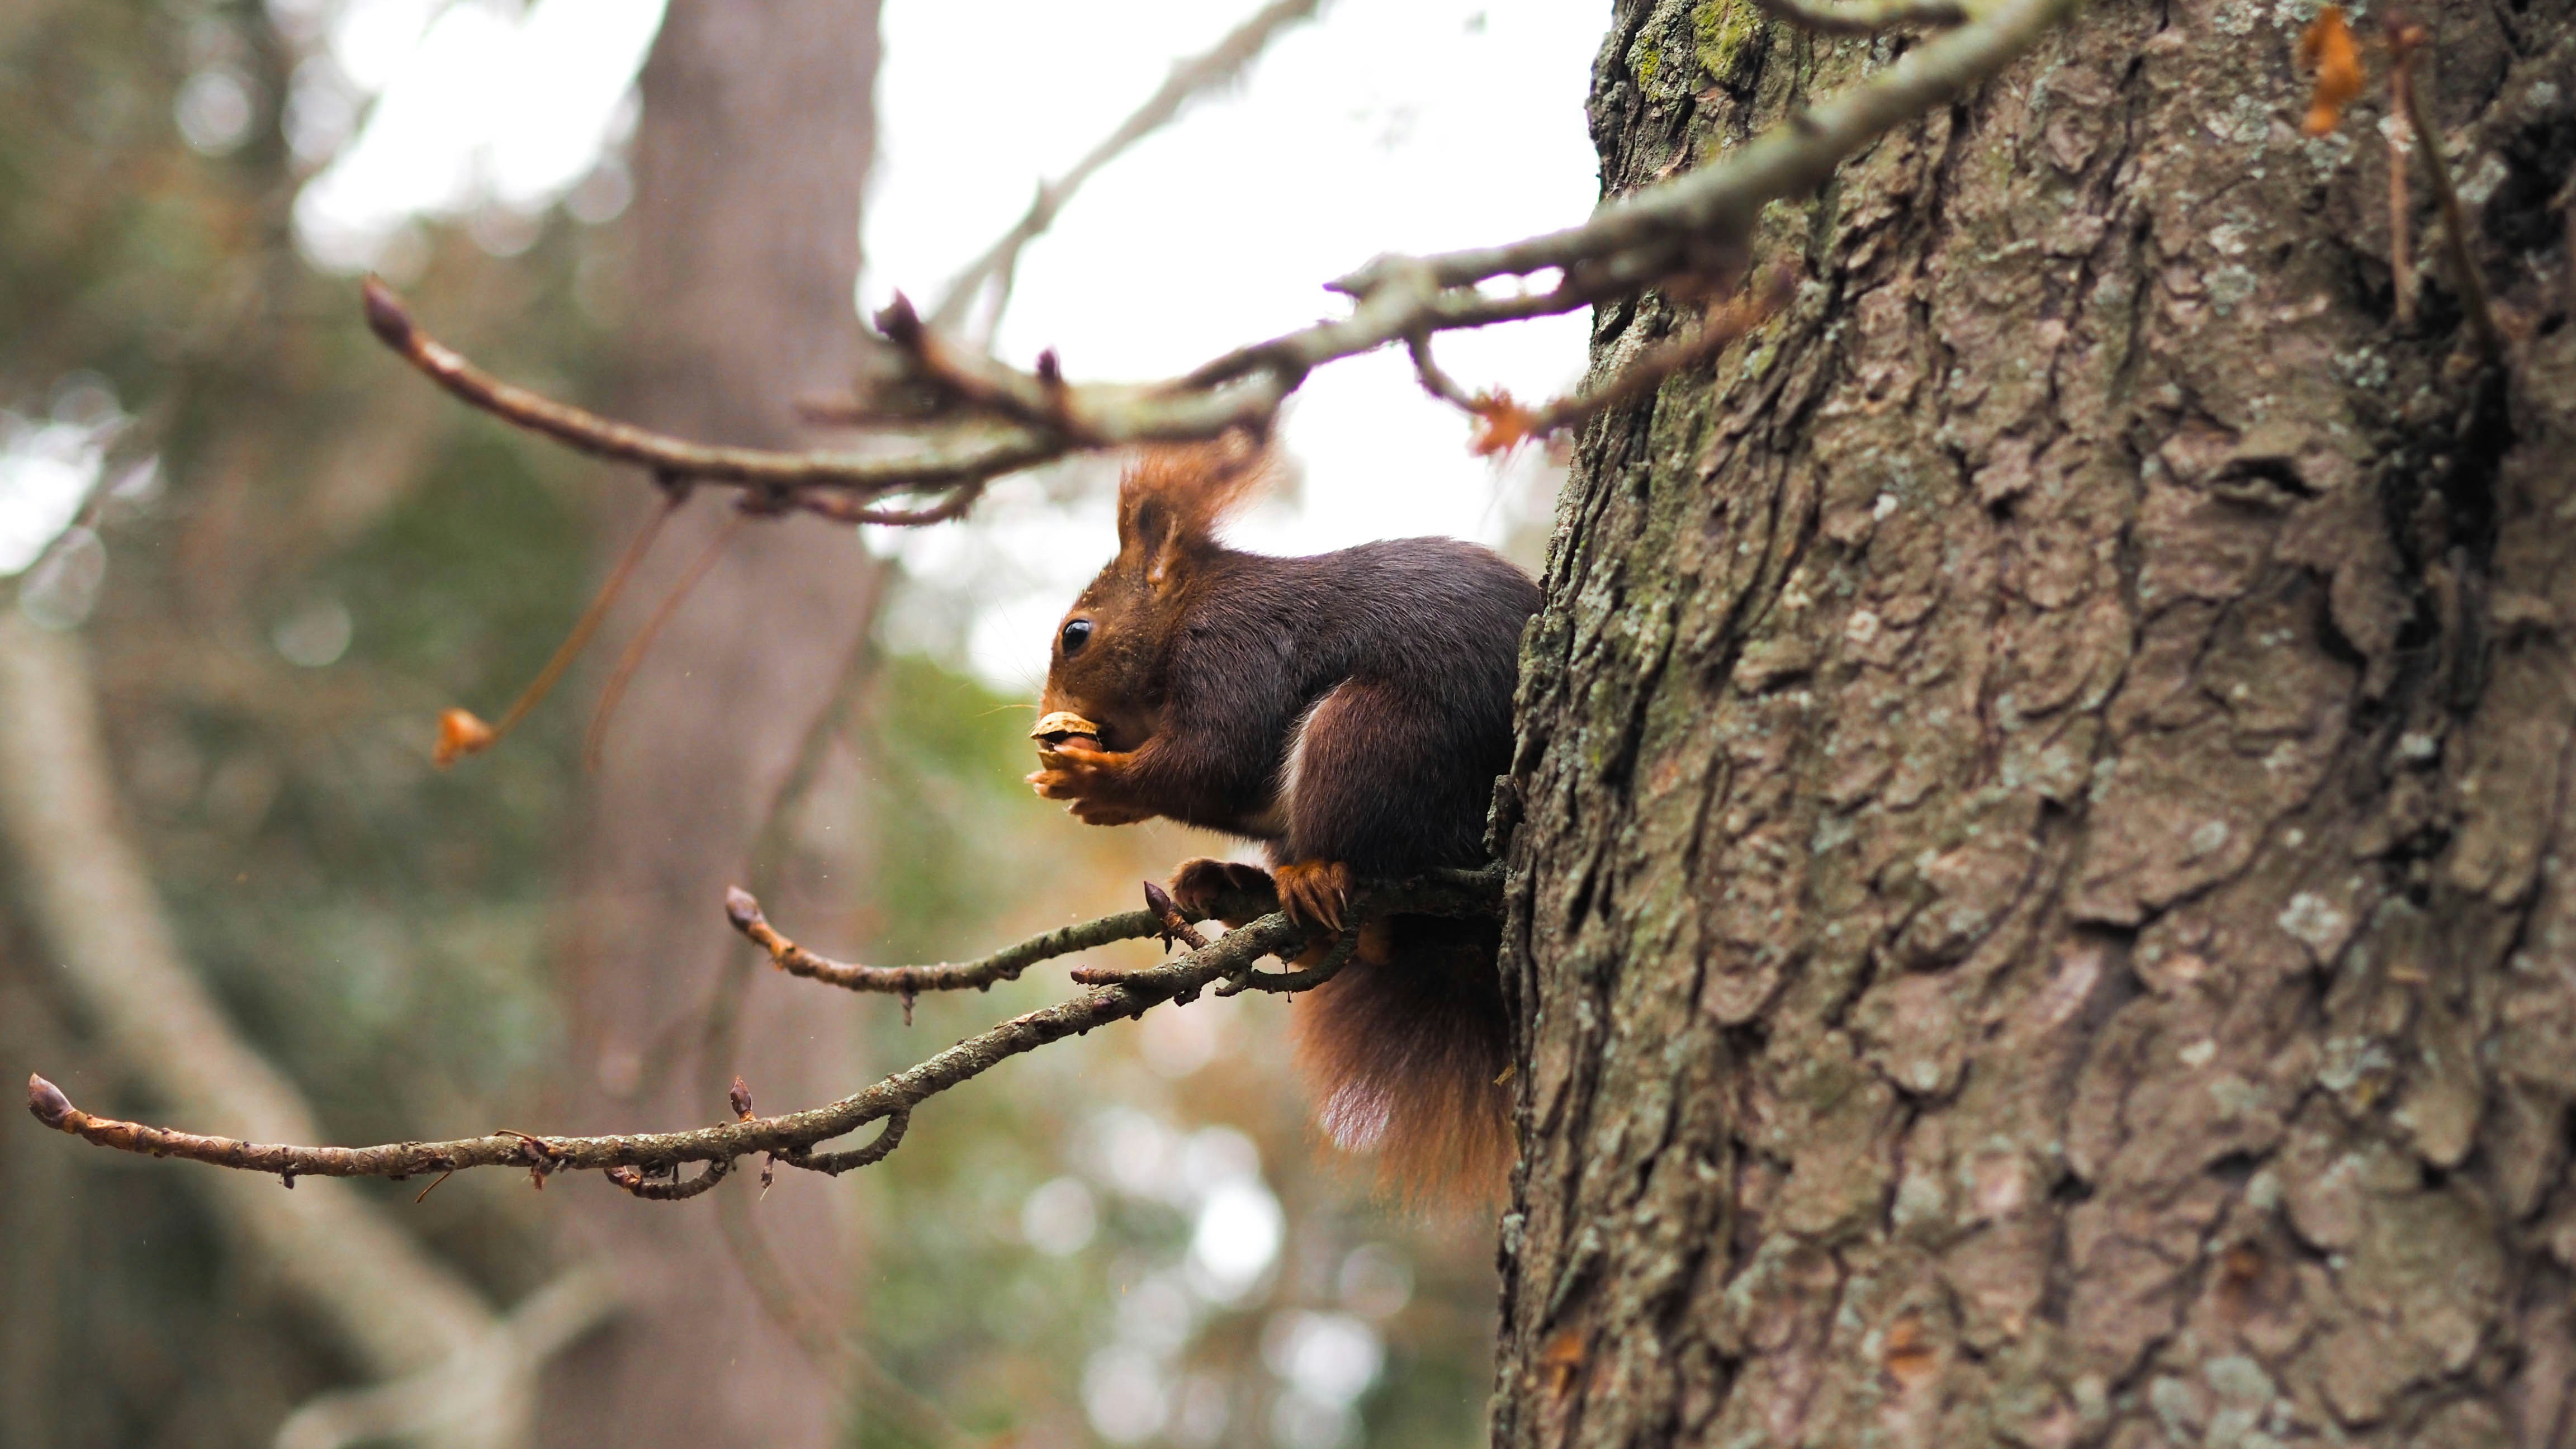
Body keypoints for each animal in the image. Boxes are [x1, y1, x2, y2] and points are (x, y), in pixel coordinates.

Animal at [1026, 440, 1540, 1203]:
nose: (1045, 723)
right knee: (1366, 937)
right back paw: (1234, 889)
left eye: (1076, 635)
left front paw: (1097, 781)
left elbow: (1217, 763)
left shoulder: (1235, 650)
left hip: (1372, 738)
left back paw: (1311, 879)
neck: (1187, 611)